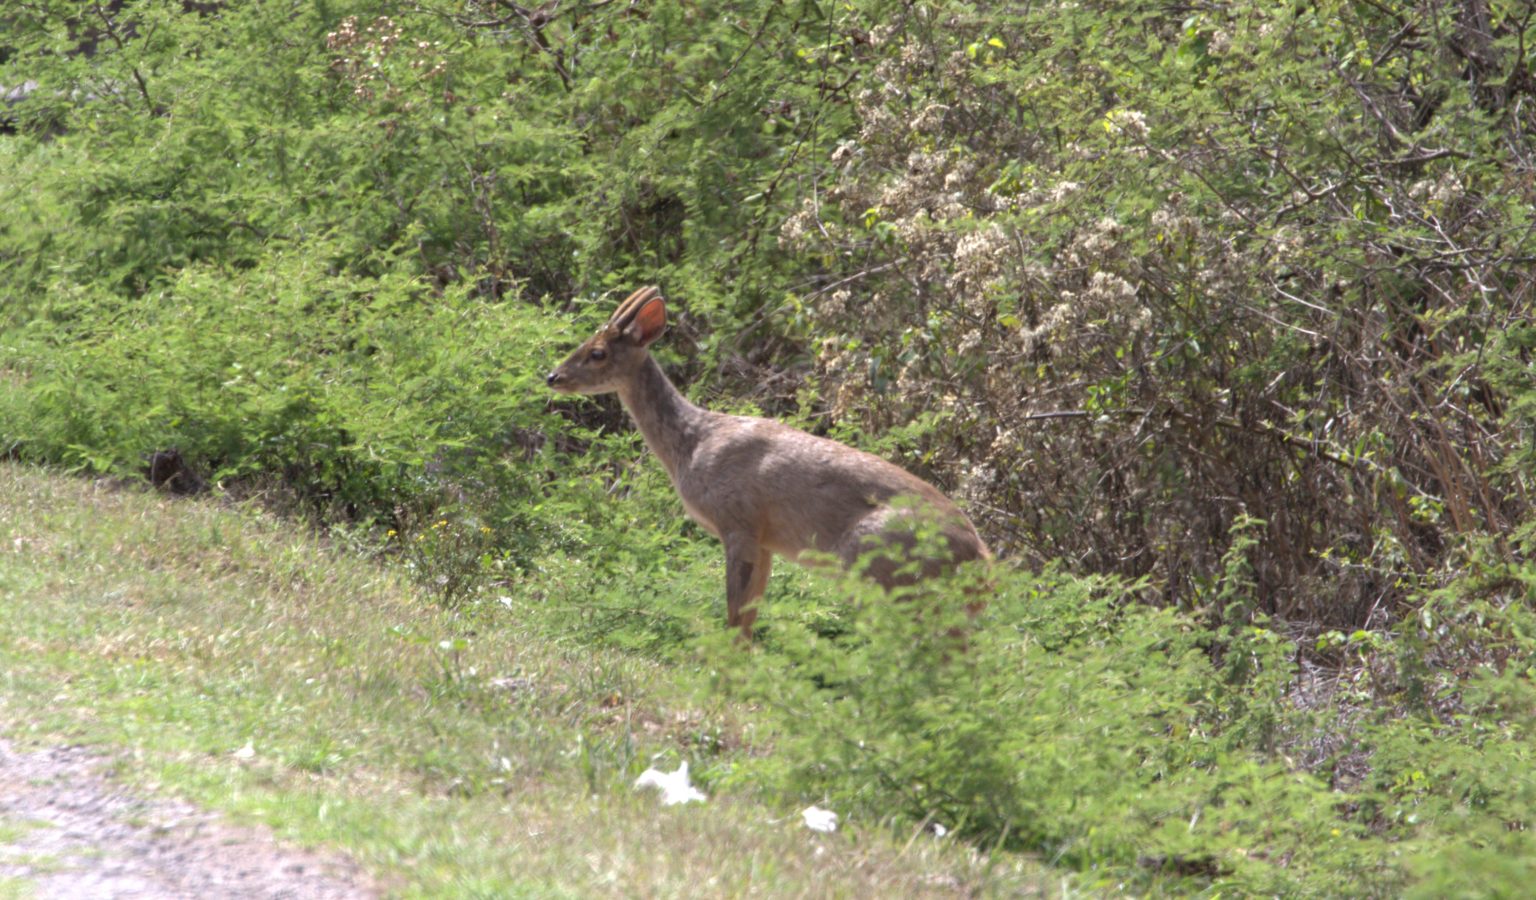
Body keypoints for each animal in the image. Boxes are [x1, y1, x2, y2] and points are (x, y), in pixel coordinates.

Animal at [545, 286, 990, 640]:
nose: (553, 376)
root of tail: (981, 561)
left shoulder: (738, 522)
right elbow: (748, 617)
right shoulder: (765, 541)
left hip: (874, 561)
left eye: (598, 352)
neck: (692, 445)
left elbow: (734, 615)